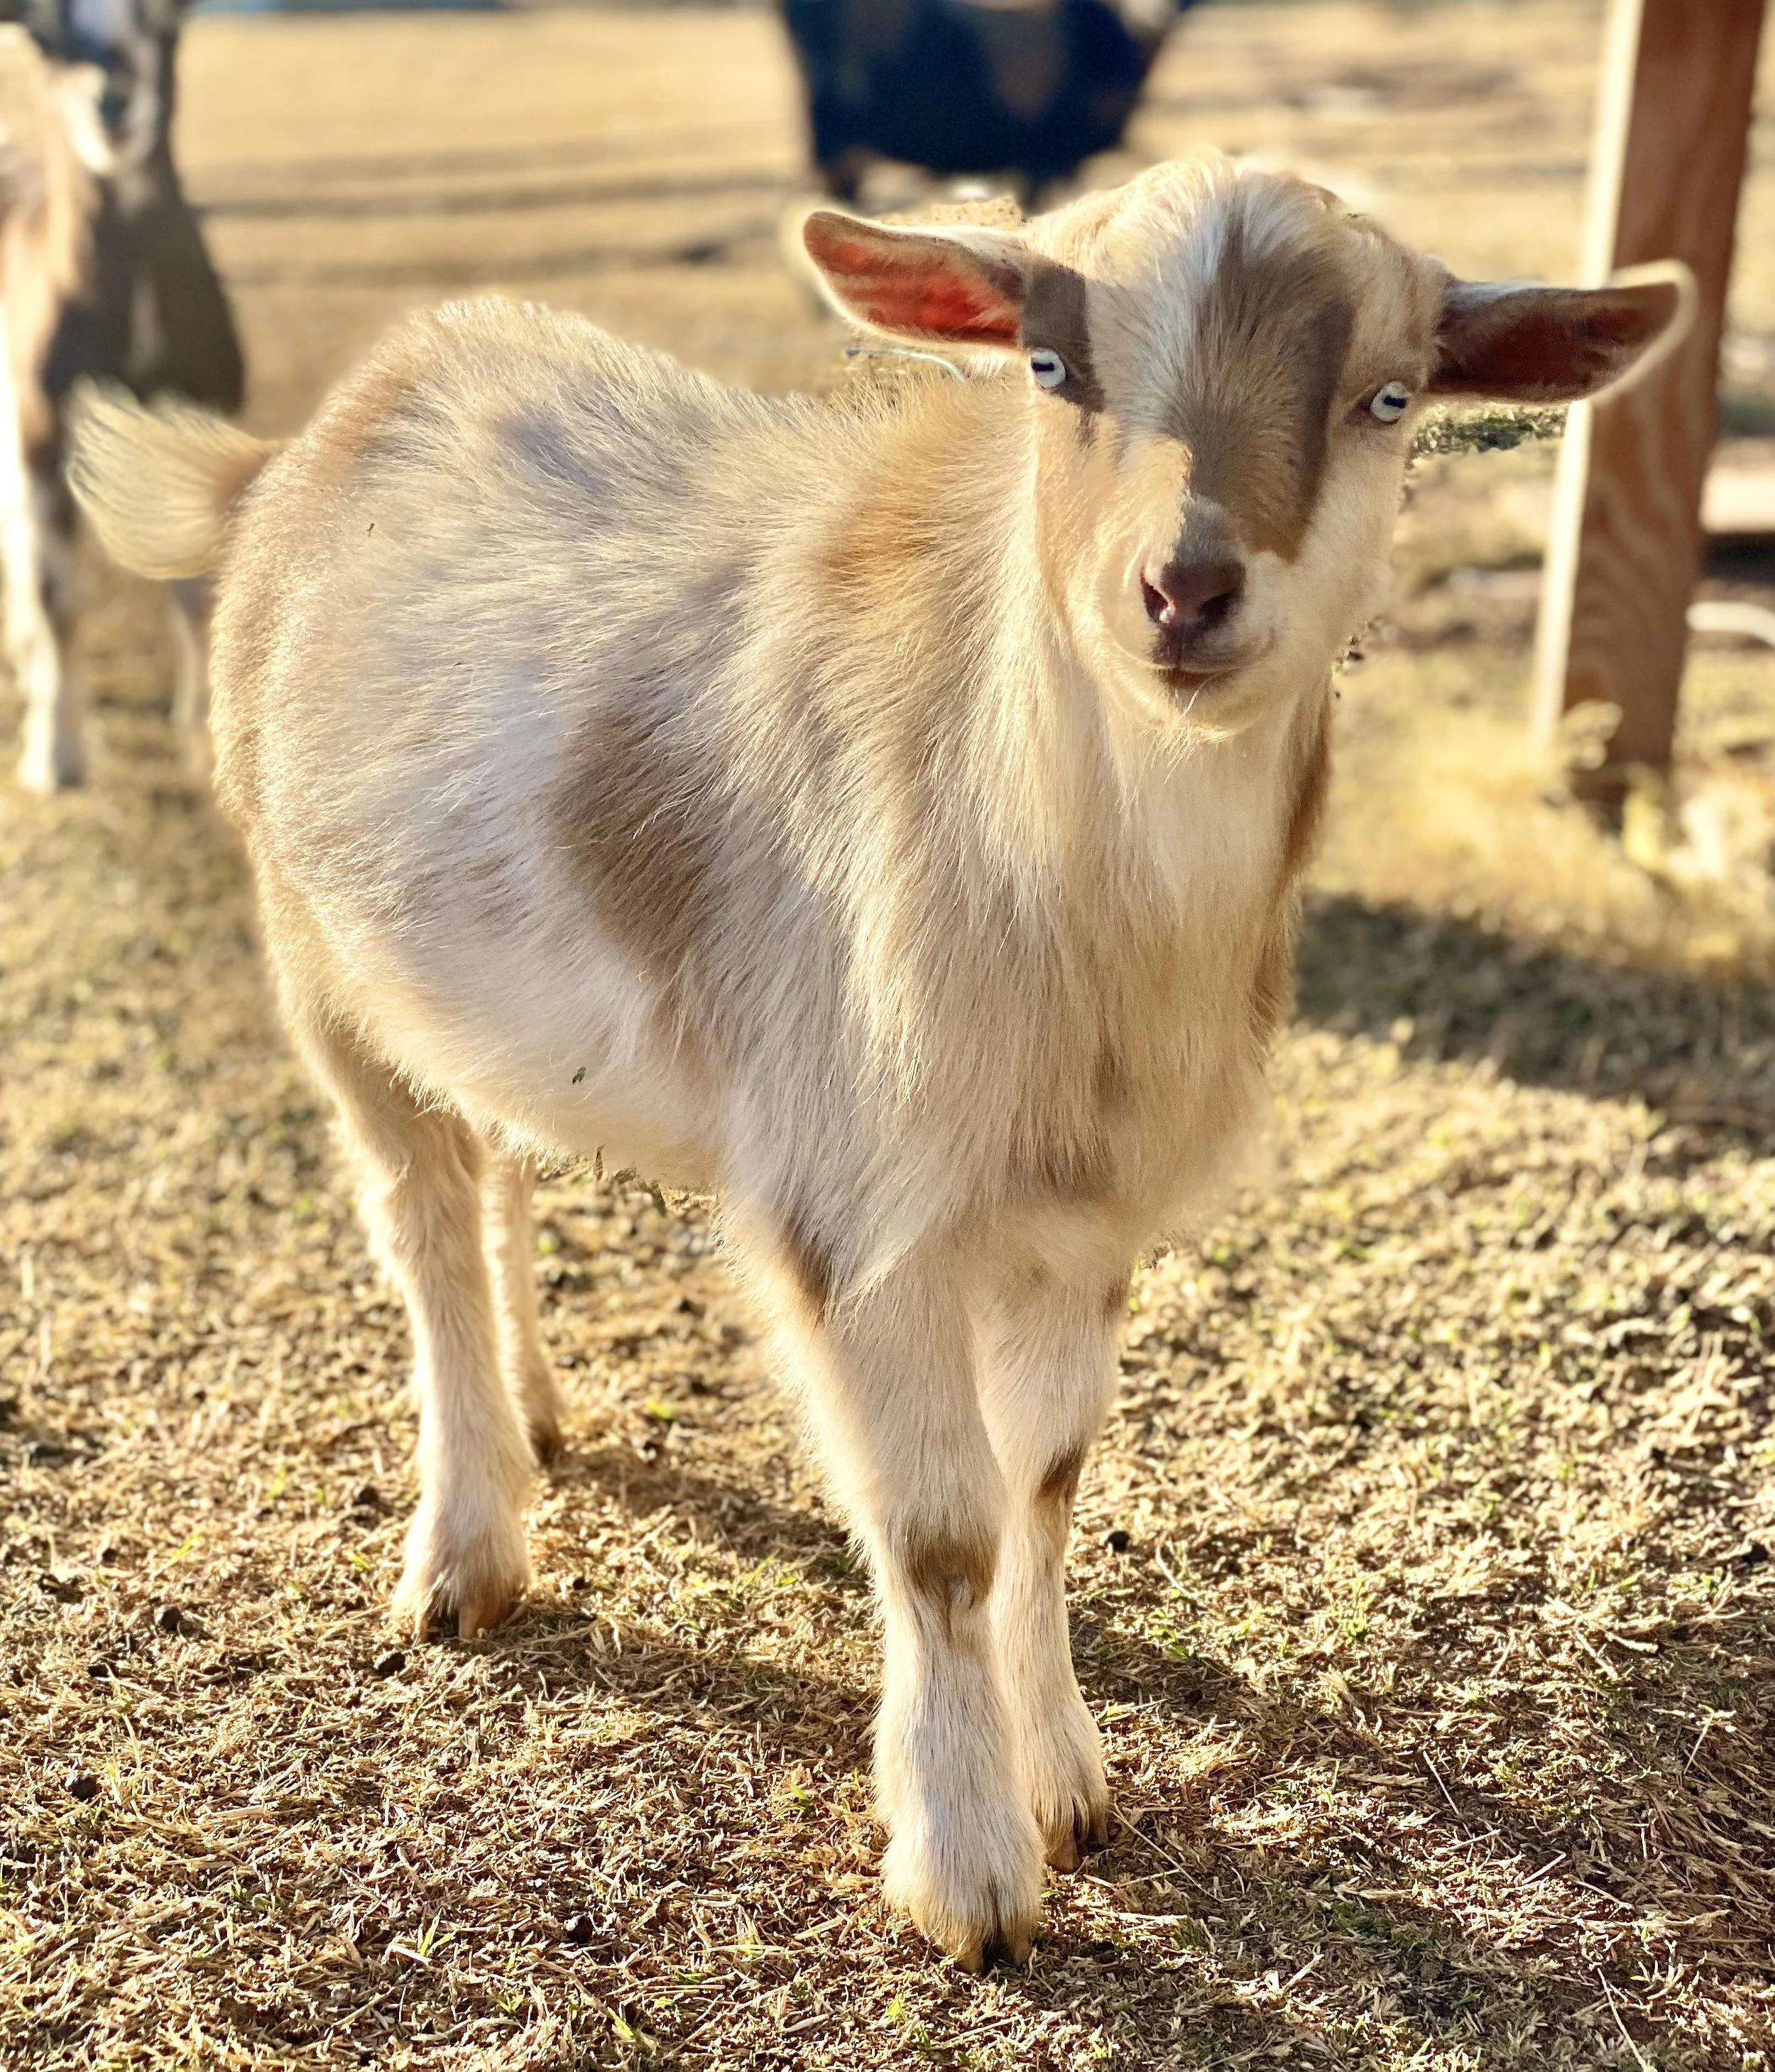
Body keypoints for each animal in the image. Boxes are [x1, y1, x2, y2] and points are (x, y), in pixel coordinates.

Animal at [16, 0, 242, 793]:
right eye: (45, 34)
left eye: (162, 20)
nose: (111, 99)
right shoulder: (39, 433)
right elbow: (56, 596)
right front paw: (56, 757)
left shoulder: (204, 410)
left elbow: (198, 588)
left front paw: (207, 743)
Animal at [69, 159, 1681, 1967]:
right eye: (1051, 368)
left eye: (1387, 397)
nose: (1183, 592)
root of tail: (295, 451)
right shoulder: (855, 1202)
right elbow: (944, 1535)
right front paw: (968, 1871)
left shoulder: (1077, 1218)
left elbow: (1042, 1485)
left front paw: (1069, 1781)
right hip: (317, 953)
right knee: (418, 1215)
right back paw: (468, 1548)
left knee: (497, 1173)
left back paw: (539, 1414)